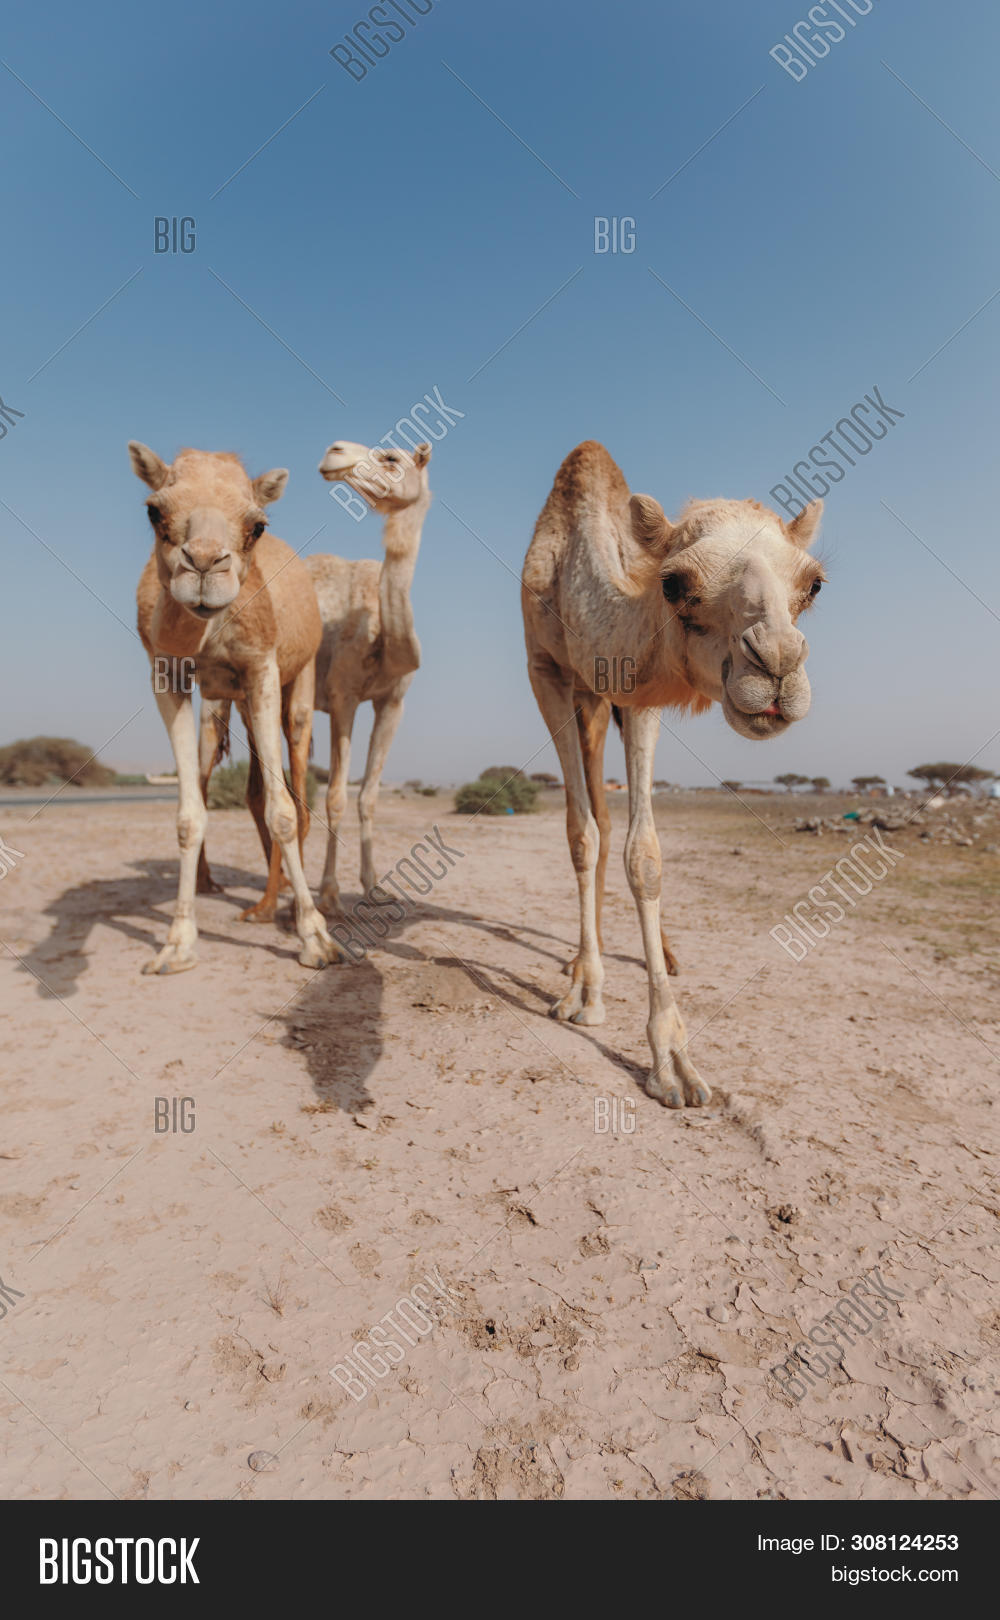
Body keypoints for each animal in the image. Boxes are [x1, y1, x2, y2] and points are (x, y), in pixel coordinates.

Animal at [131, 442, 343, 973]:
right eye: (154, 511)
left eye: (256, 526)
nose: (205, 564)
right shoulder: (167, 673)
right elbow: (190, 815)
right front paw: (176, 944)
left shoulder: (261, 667)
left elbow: (283, 811)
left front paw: (316, 939)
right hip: (227, 707)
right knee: (235, 781)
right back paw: (260, 897)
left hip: (299, 682)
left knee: (296, 781)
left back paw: (283, 905)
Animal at [522, 441, 825, 1107]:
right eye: (677, 582)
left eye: (813, 584)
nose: (777, 667)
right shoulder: (547, 671)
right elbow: (581, 834)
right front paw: (586, 995)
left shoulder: (639, 694)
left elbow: (646, 855)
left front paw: (673, 1060)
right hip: (586, 699)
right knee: (597, 818)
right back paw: (583, 964)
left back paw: (656, 952)